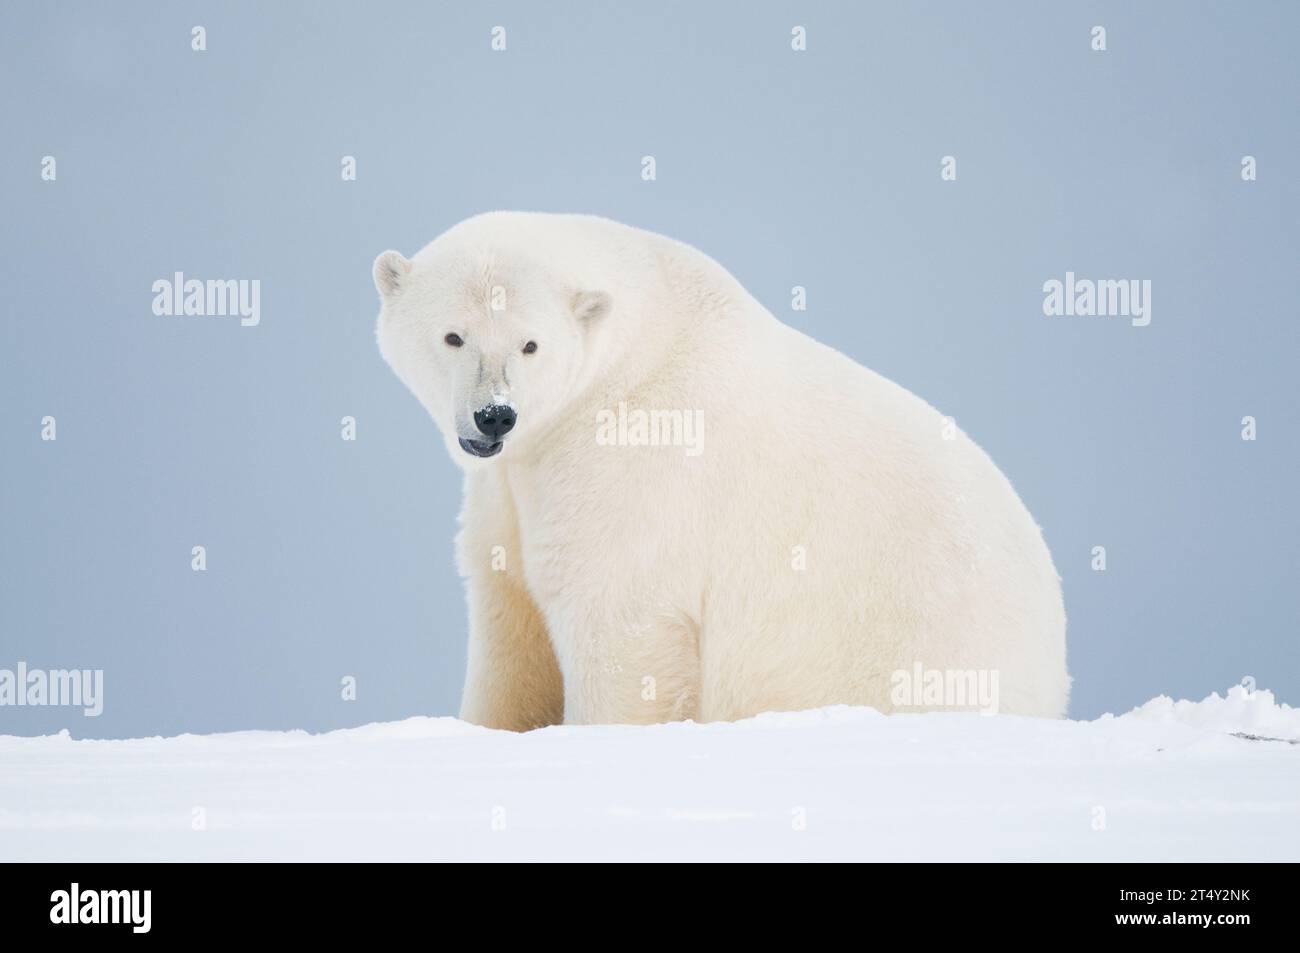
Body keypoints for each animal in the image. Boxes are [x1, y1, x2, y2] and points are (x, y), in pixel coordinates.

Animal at [373, 212, 1069, 729]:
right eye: (453, 336)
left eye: (530, 344)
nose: (495, 416)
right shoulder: (510, 490)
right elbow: (510, 620)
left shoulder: (633, 470)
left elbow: (618, 626)